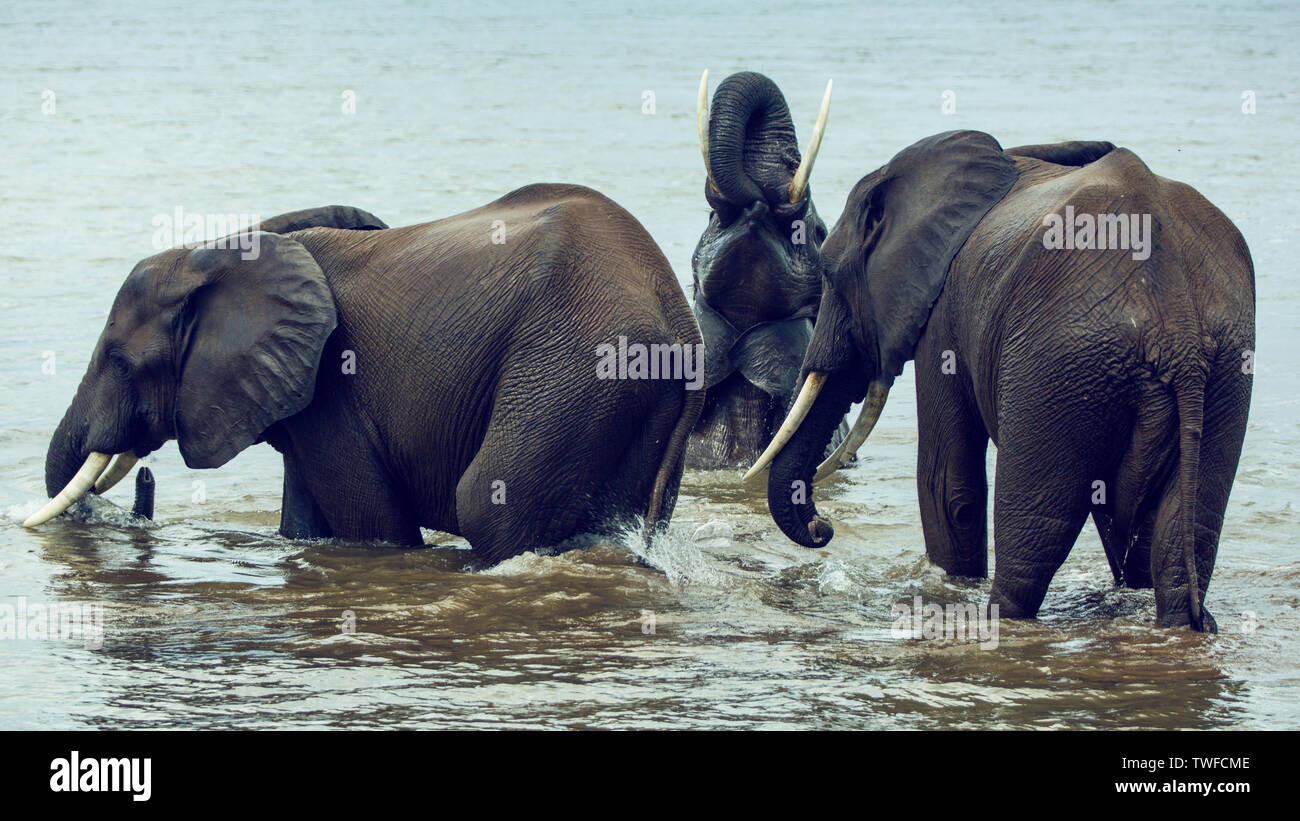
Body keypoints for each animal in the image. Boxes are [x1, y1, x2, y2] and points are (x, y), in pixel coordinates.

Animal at [26, 184, 705, 565]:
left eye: (119, 360)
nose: (144, 476)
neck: (220, 250)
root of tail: (678, 314)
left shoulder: (332, 383)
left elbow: (374, 527)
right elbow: (306, 524)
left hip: (579, 362)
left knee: (488, 504)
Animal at [746, 131, 1254, 632]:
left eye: (829, 273)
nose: (823, 528)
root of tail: (1176, 323)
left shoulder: (943, 317)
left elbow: (948, 485)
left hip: (1060, 366)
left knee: (1033, 527)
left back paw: (999, 615)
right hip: (1223, 370)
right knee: (1184, 527)